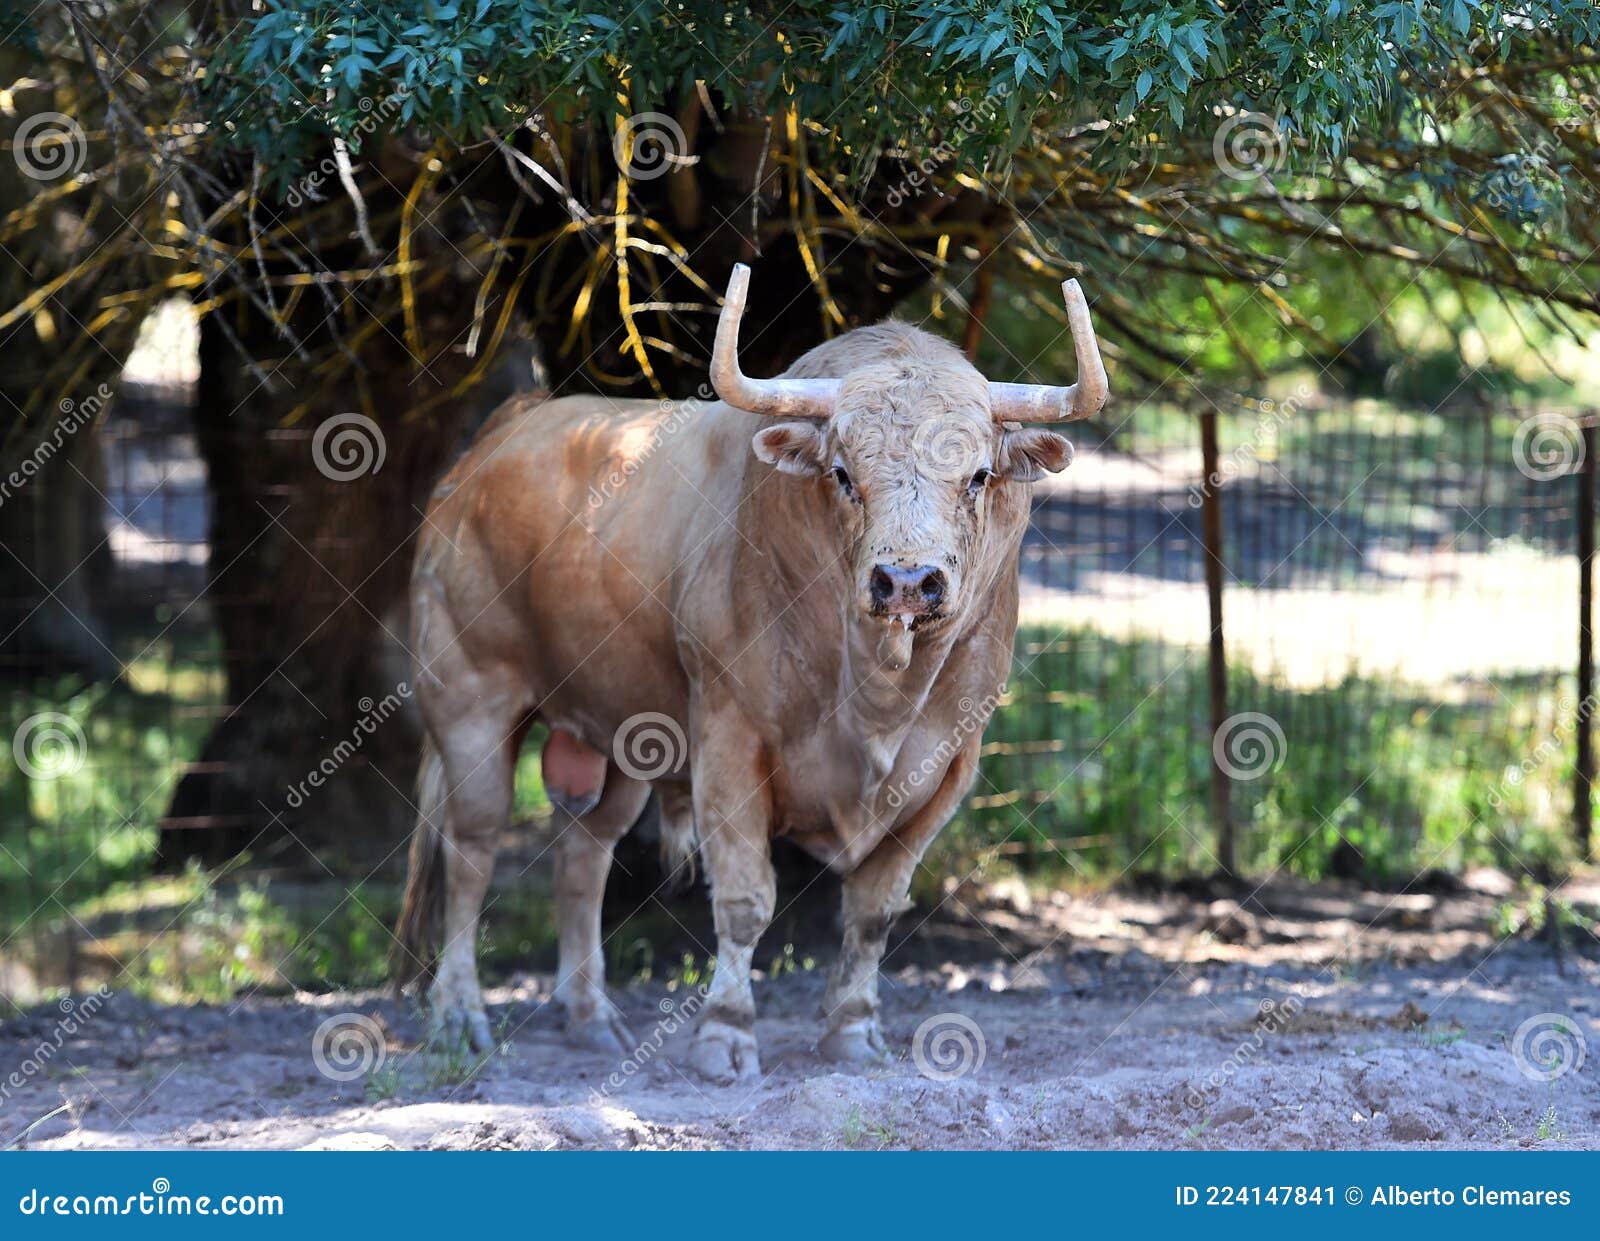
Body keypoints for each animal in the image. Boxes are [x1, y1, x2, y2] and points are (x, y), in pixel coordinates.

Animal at [395, 265, 1107, 1082]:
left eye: (979, 474)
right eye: (843, 473)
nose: (906, 581)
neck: (877, 699)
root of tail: (495, 442)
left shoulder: (949, 765)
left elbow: (873, 909)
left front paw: (854, 1030)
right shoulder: (730, 740)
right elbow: (744, 899)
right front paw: (726, 1032)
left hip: (618, 734)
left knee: (584, 853)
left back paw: (590, 1016)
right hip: (470, 701)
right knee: (469, 851)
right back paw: (460, 1015)